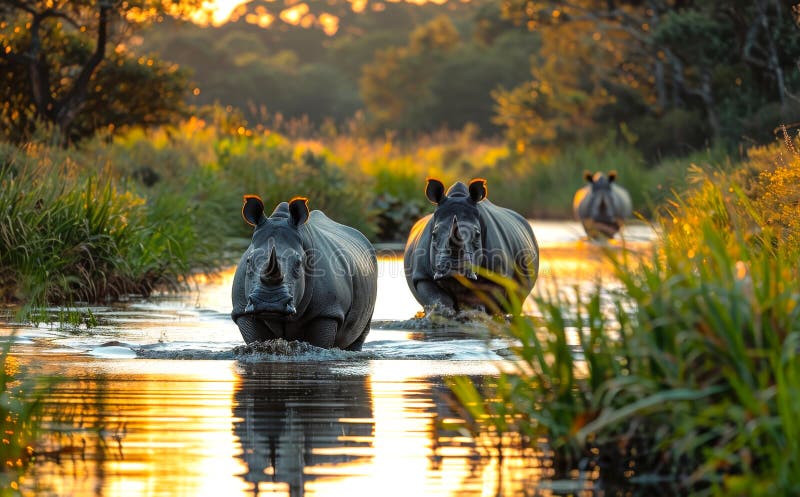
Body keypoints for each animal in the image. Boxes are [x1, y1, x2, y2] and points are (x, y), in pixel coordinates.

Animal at [231, 196, 377, 350]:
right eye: (248, 260)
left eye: (299, 263)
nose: (269, 302)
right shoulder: (242, 311)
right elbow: (255, 339)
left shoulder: (327, 311)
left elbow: (320, 343)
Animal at [404, 178, 539, 313]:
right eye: (433, 234)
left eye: (478, 234)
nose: (454, 269)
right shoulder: (422, 276)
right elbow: (438, 299)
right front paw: (444, 312)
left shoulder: (497, 278)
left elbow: (483, 300)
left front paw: (474, 312)